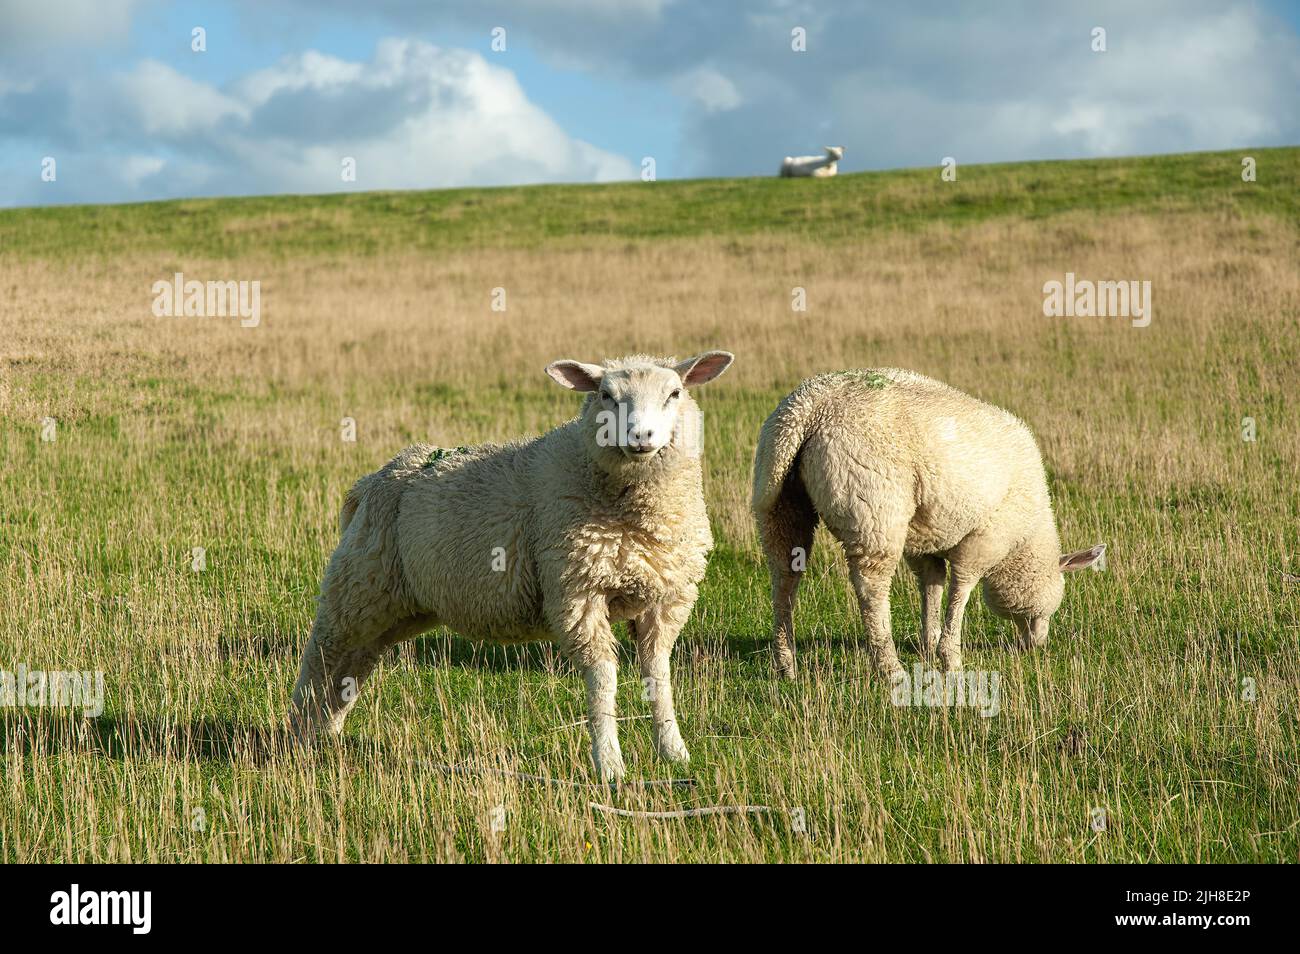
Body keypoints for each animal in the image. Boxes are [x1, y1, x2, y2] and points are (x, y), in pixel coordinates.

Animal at [290, 351, 735, 782]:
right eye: (606, 395)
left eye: (675, 393)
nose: (640, 436)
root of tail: (374, 479)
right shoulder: (578, 595)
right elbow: (603, 679)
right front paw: (609, 764)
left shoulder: (665, 601)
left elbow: (659, 676)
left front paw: (674, 752)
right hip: (359, 583)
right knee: (322, 653)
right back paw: (298, 732)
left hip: (397, 605)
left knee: (355, 663)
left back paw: (326, 730)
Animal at [751, 368, 1103, 680]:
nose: (1037, 645)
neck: (1023, 543)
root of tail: (813, 408)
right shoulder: (984, 538)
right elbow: (961, 588)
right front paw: (950, 657)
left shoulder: (926, 540)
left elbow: (932, 585)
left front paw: (930, 643)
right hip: (875, 510)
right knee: (871, 588)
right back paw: (889, 667)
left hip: (776, 501)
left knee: (784, 578)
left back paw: (786, 664)